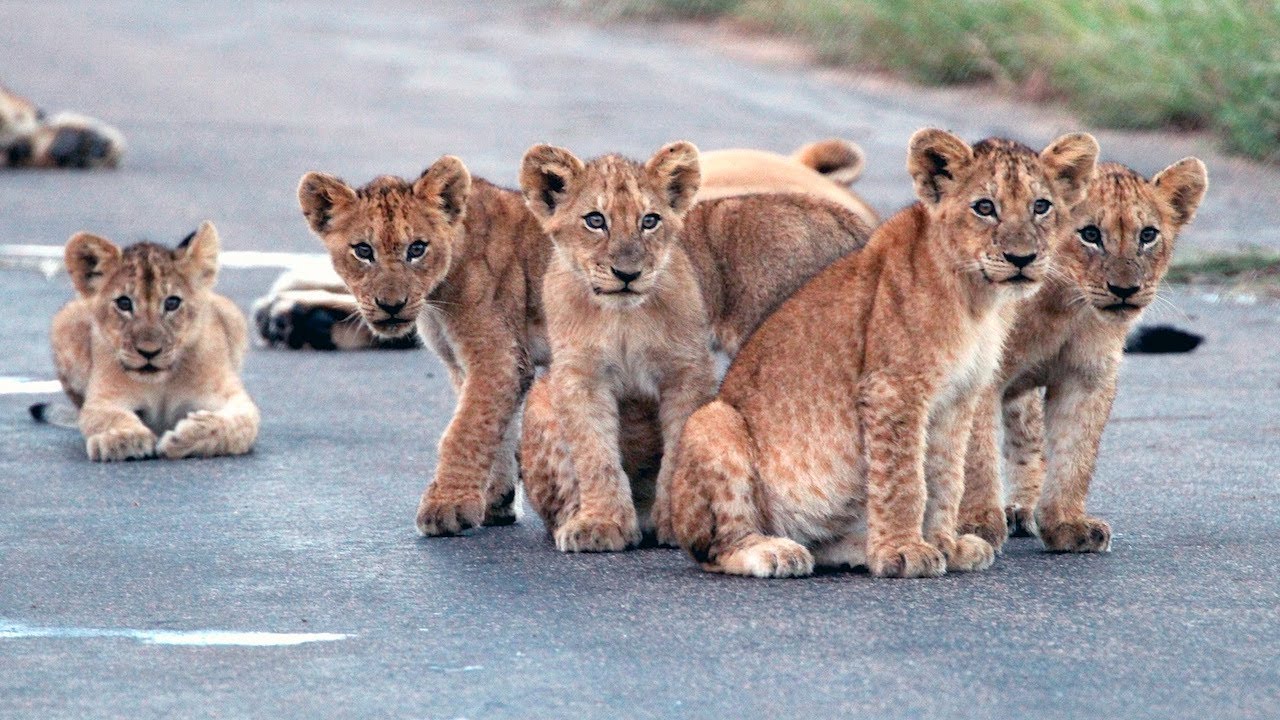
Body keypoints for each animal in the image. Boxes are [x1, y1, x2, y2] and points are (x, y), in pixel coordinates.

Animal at [34, 222, 260, 461]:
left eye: (172, 302)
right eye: (124, 303)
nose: (149, 352)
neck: (162, 382)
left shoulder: (235, 399)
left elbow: (238, 425)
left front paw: (188, 437)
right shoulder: (102, 400)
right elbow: (107, 417)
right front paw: (123, 439)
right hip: (65, 320)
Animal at [668, 129, 1099, 578]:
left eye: (1041, 206)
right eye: (985, 207)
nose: (1022, 258)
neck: (977, 300)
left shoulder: (958, 398)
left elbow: (946, 478)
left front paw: (944, 546)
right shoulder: (893, 390)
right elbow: (904, 479)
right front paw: (905, 552)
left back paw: (858, 549)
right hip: (712, 420)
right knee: (716, 547)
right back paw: (774, 551)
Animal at [957, 158, 1208, 553]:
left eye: (1147, 235)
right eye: (1090, 234)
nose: (1125, 290)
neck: (1063, 307)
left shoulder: (1088, 376)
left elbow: (1076, 452)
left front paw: (1066, 524)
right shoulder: (980, 372)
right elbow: (975, 455)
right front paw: (977, 526)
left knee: (1027, 439)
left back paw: (1020, 511)